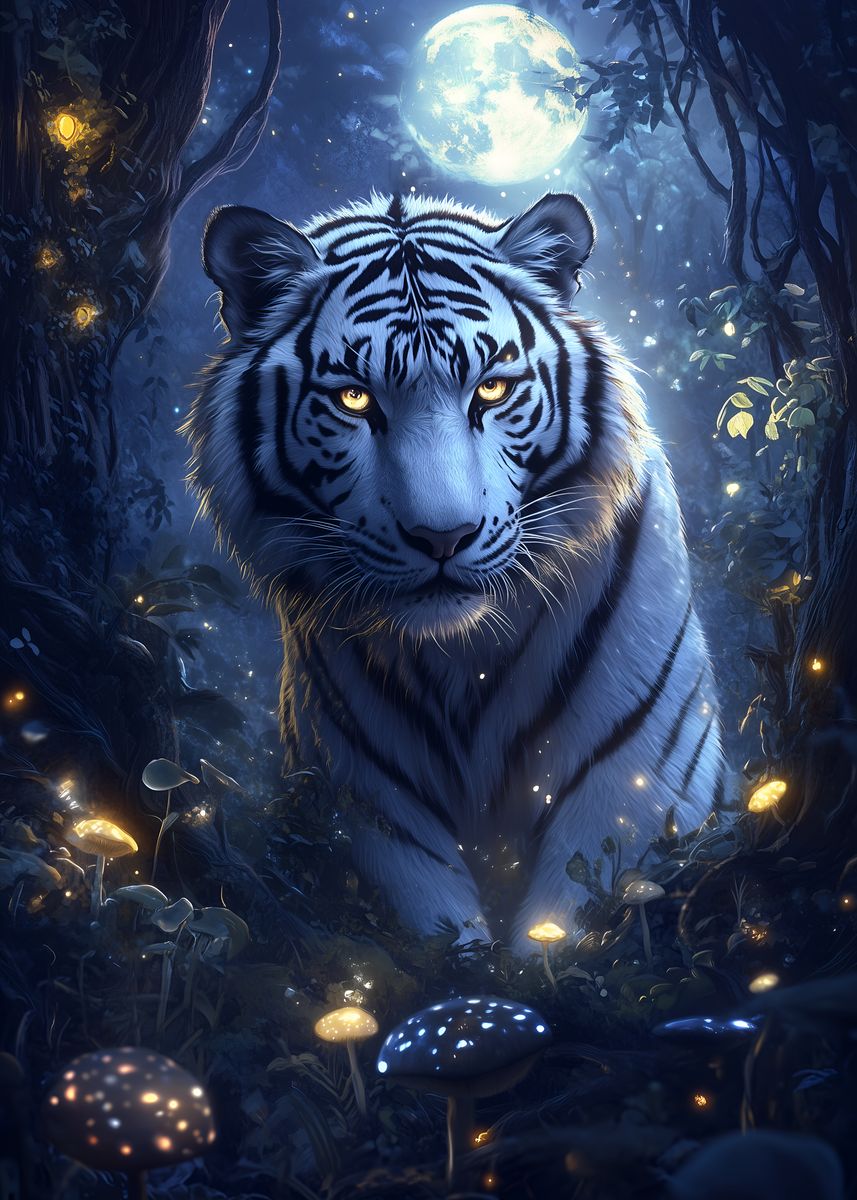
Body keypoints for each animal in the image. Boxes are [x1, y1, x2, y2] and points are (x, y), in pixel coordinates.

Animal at [183, 191, 724, 952]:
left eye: (491, 390)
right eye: (354, 400)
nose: (442, 536)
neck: (462, 655)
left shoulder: (637, 770)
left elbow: (571, 920)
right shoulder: (366, 793)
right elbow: (434, 925)